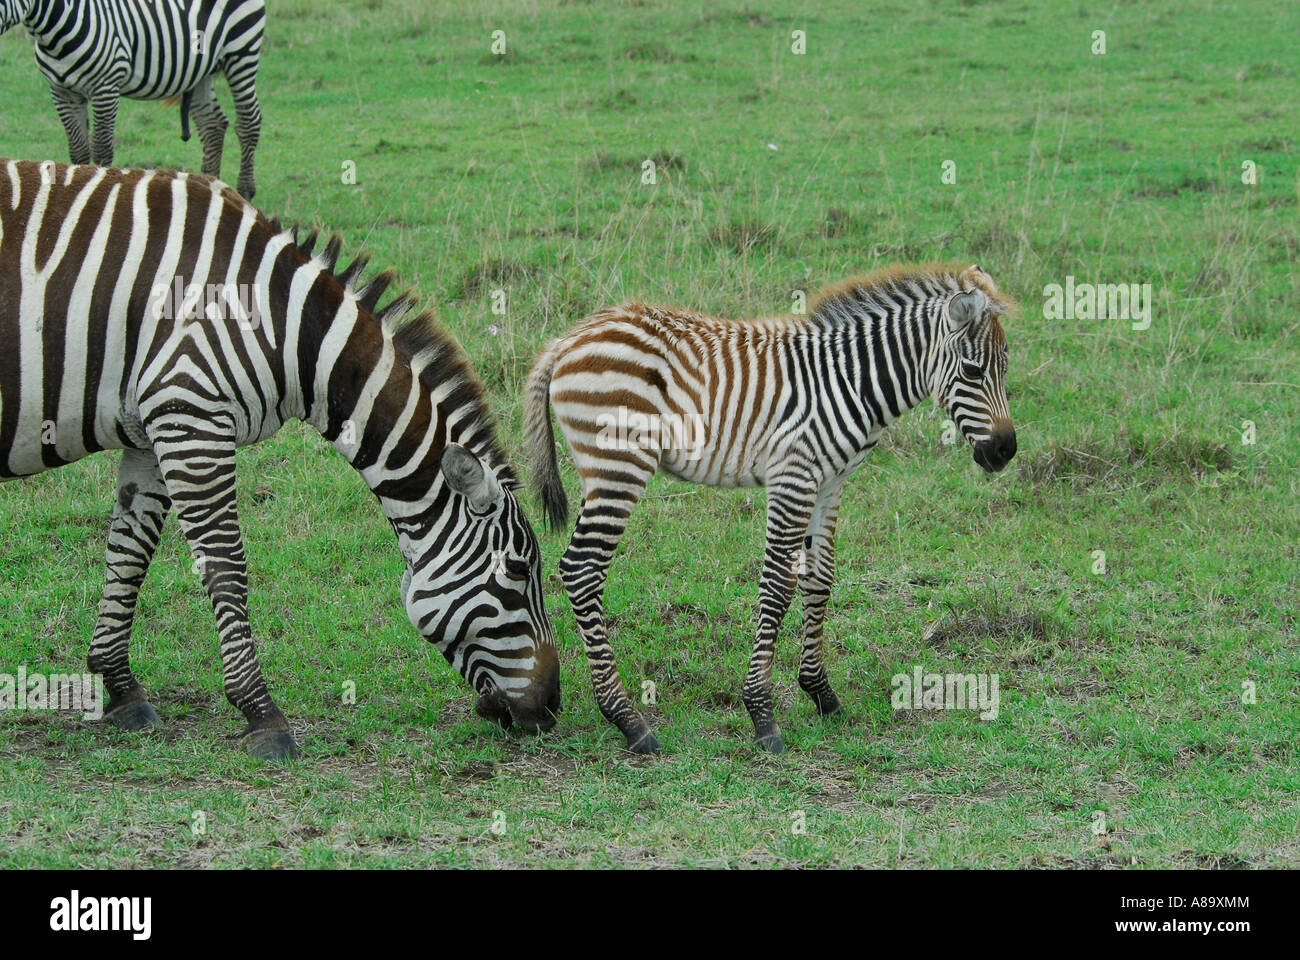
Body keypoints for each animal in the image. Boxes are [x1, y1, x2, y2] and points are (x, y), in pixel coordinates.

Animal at [0, 0, 264, 198]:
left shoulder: (106, 87)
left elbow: (102, 149)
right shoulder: (62, 92)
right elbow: (78, 151)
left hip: (242, 49)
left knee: (248, 122)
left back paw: (245, 190)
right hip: (202, 68)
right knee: (212, 125)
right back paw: (210, 186)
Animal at [0, 157, 560, 761]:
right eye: (519, 570)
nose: (550, 709)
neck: (283, 326)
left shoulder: (151, 428)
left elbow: (129, 554)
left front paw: (120, 687)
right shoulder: (192, 414)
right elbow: (226, 566)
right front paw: (261, 713)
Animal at [525, 262, 1017, 754]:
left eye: (1005, 368)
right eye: (973, 371)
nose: (1005, 452)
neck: (851, 382)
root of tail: (569, 338)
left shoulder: (829, 484)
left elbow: (820, 578)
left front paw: (821, 694)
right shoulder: (793, 477)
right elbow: (779, 585)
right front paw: (762, 713)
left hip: (604, 471)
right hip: (619, 467)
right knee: (583, 569)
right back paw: (627, 719)